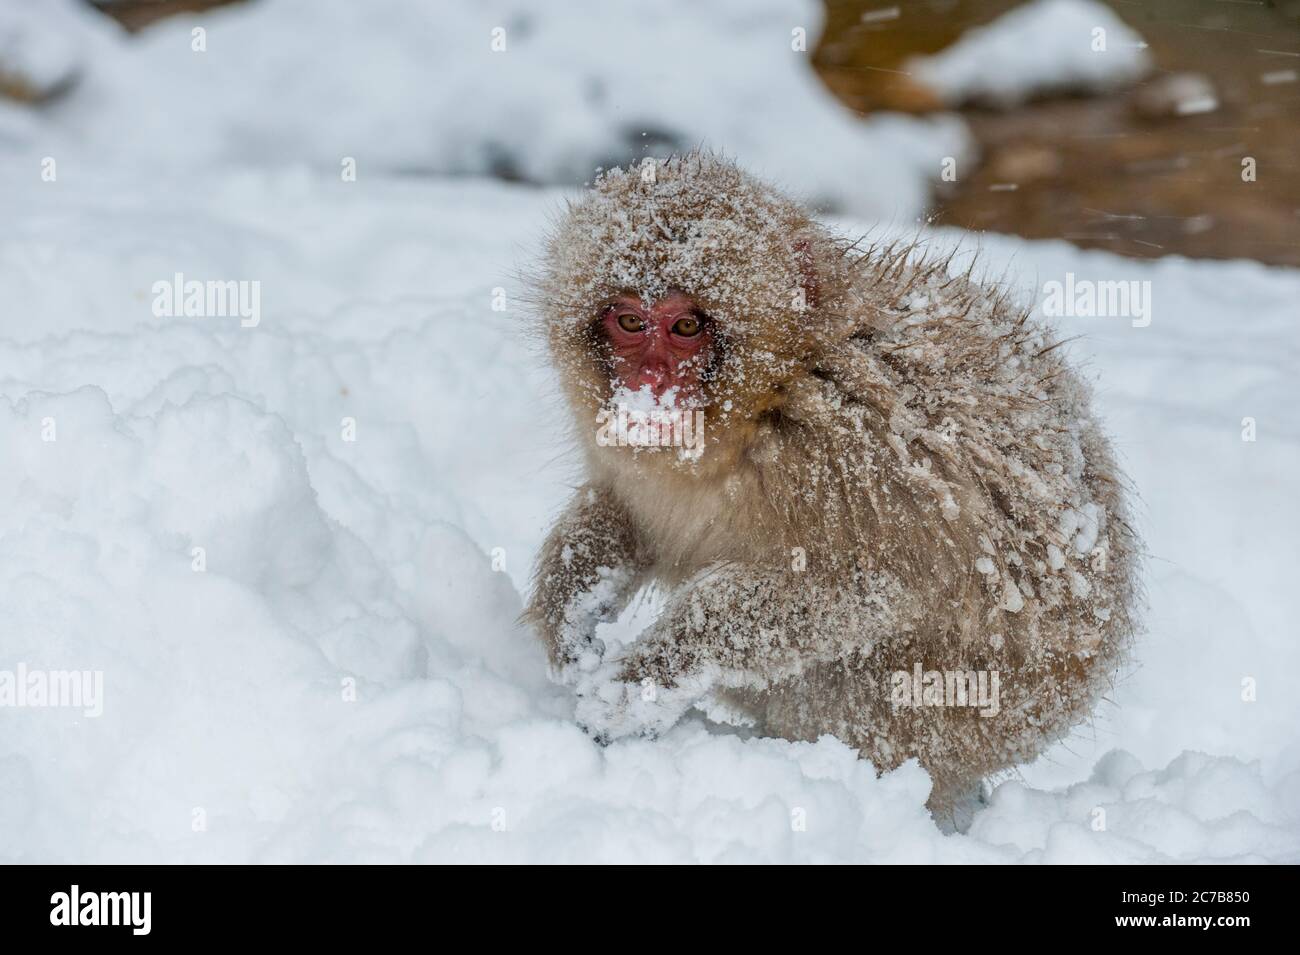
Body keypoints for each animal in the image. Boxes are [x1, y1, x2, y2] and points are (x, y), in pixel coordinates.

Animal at [524, 151, 1141, 826]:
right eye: (631, 322)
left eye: (686, 325)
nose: (650, 386)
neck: (772, 398)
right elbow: (626, 512)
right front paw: (570, 616)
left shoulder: (852, 454)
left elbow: (870, 589)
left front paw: (643, 679)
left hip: (970, 714)